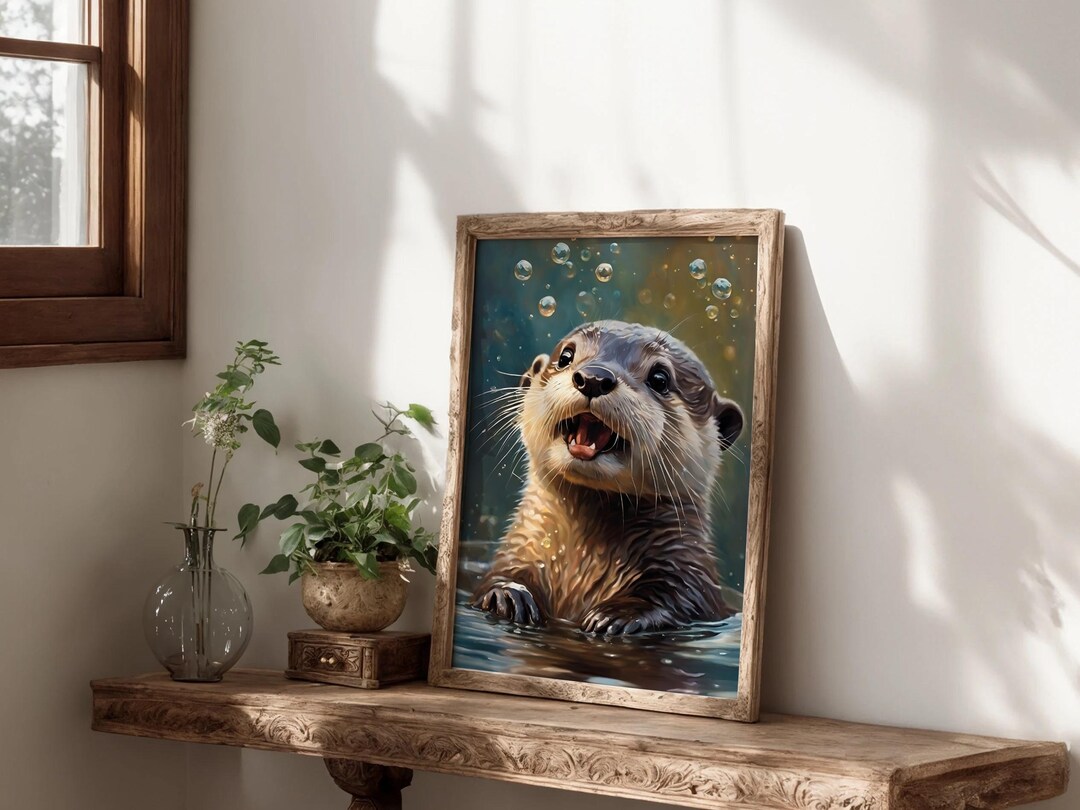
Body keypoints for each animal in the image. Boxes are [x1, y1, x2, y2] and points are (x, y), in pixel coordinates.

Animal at [470, 320, 744, 635]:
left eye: (660, 378)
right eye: (565, 356)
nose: (593, 377)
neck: (578, 567)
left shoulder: (688, 579)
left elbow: (674, 598)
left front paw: (618, 615)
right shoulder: (520, 551)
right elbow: (498, 578)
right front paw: (507, 593)